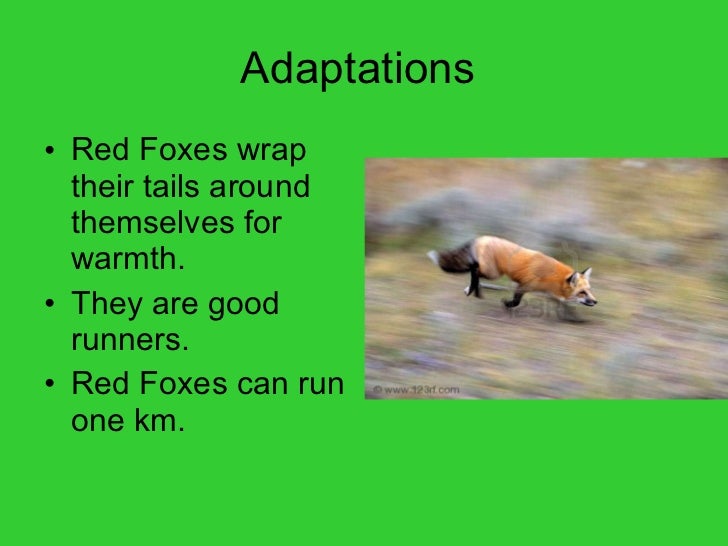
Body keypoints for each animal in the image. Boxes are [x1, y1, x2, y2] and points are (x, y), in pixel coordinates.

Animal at [428, 235, 597, 309]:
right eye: (582, 292)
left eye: (589, 290)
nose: (595, 301)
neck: (553, 277)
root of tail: (482, 237)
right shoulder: (523, 285)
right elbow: (517, 301)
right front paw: (508, 305)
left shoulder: (548, 293)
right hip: (492, 273)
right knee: (473, 270)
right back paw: (473, 290)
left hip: (491, 272)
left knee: (473, 270)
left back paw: (474, 291)